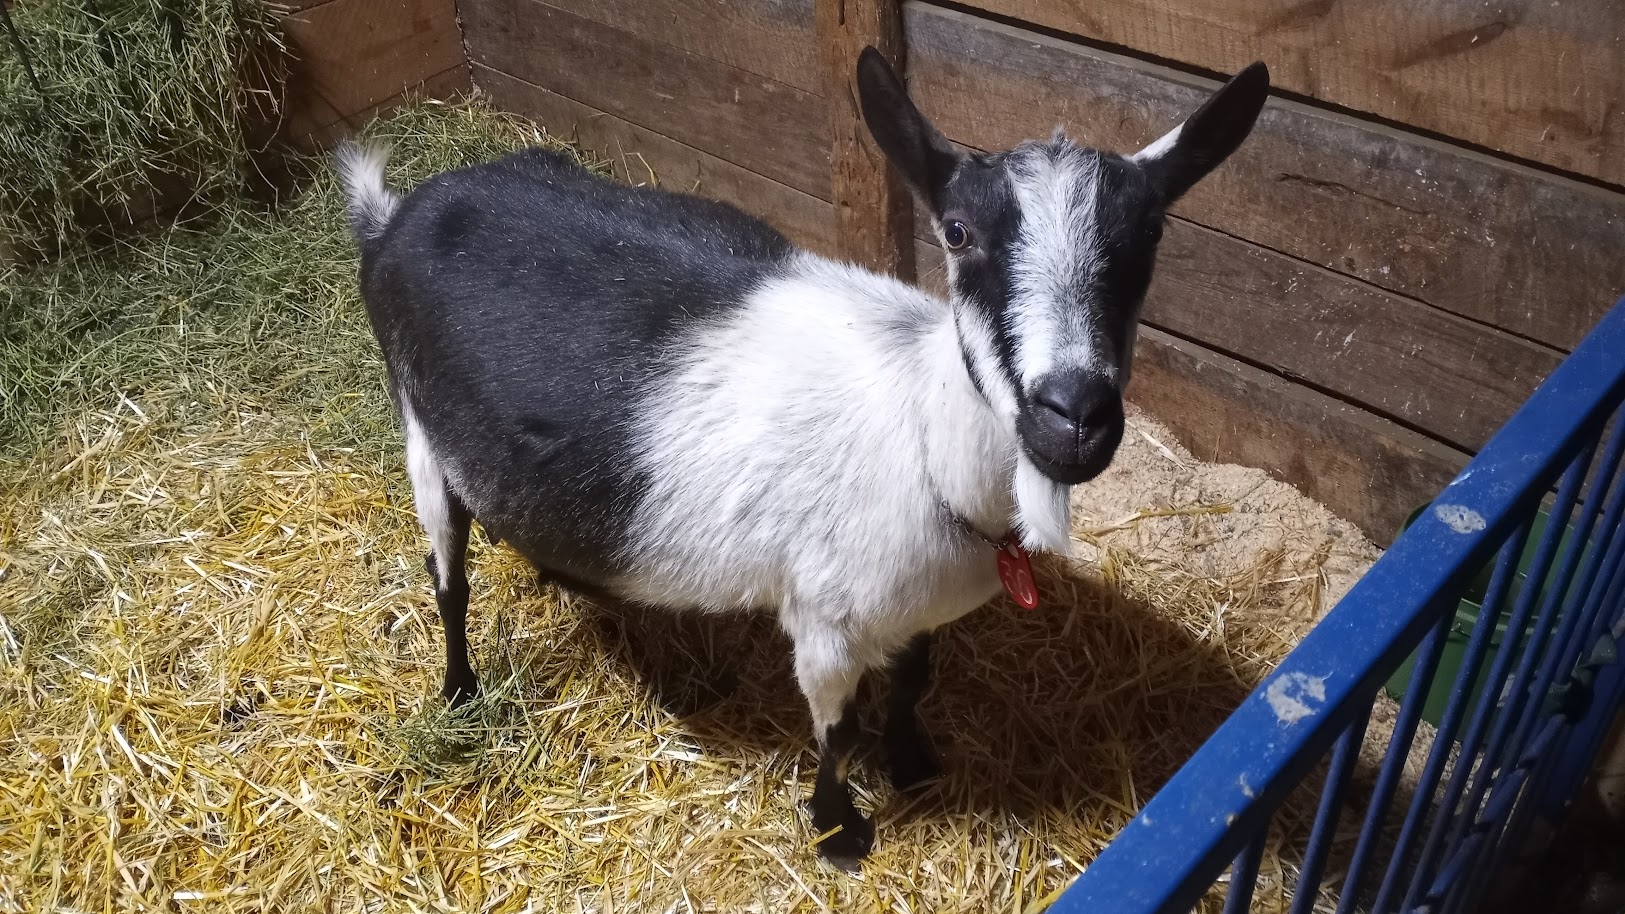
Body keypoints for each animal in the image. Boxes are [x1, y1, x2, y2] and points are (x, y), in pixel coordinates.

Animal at [338, 50, 1269, 863]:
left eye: (1150, 233)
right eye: (957, 232)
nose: (1072, 416)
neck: (919, 433)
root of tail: (394, 217)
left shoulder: (916, 609)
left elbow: (913, 680)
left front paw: (912, 762)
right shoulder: (823, 614)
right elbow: (836, 726)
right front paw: (838, 831)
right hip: (419, 430)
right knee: (448, 577)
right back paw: (460, 691)